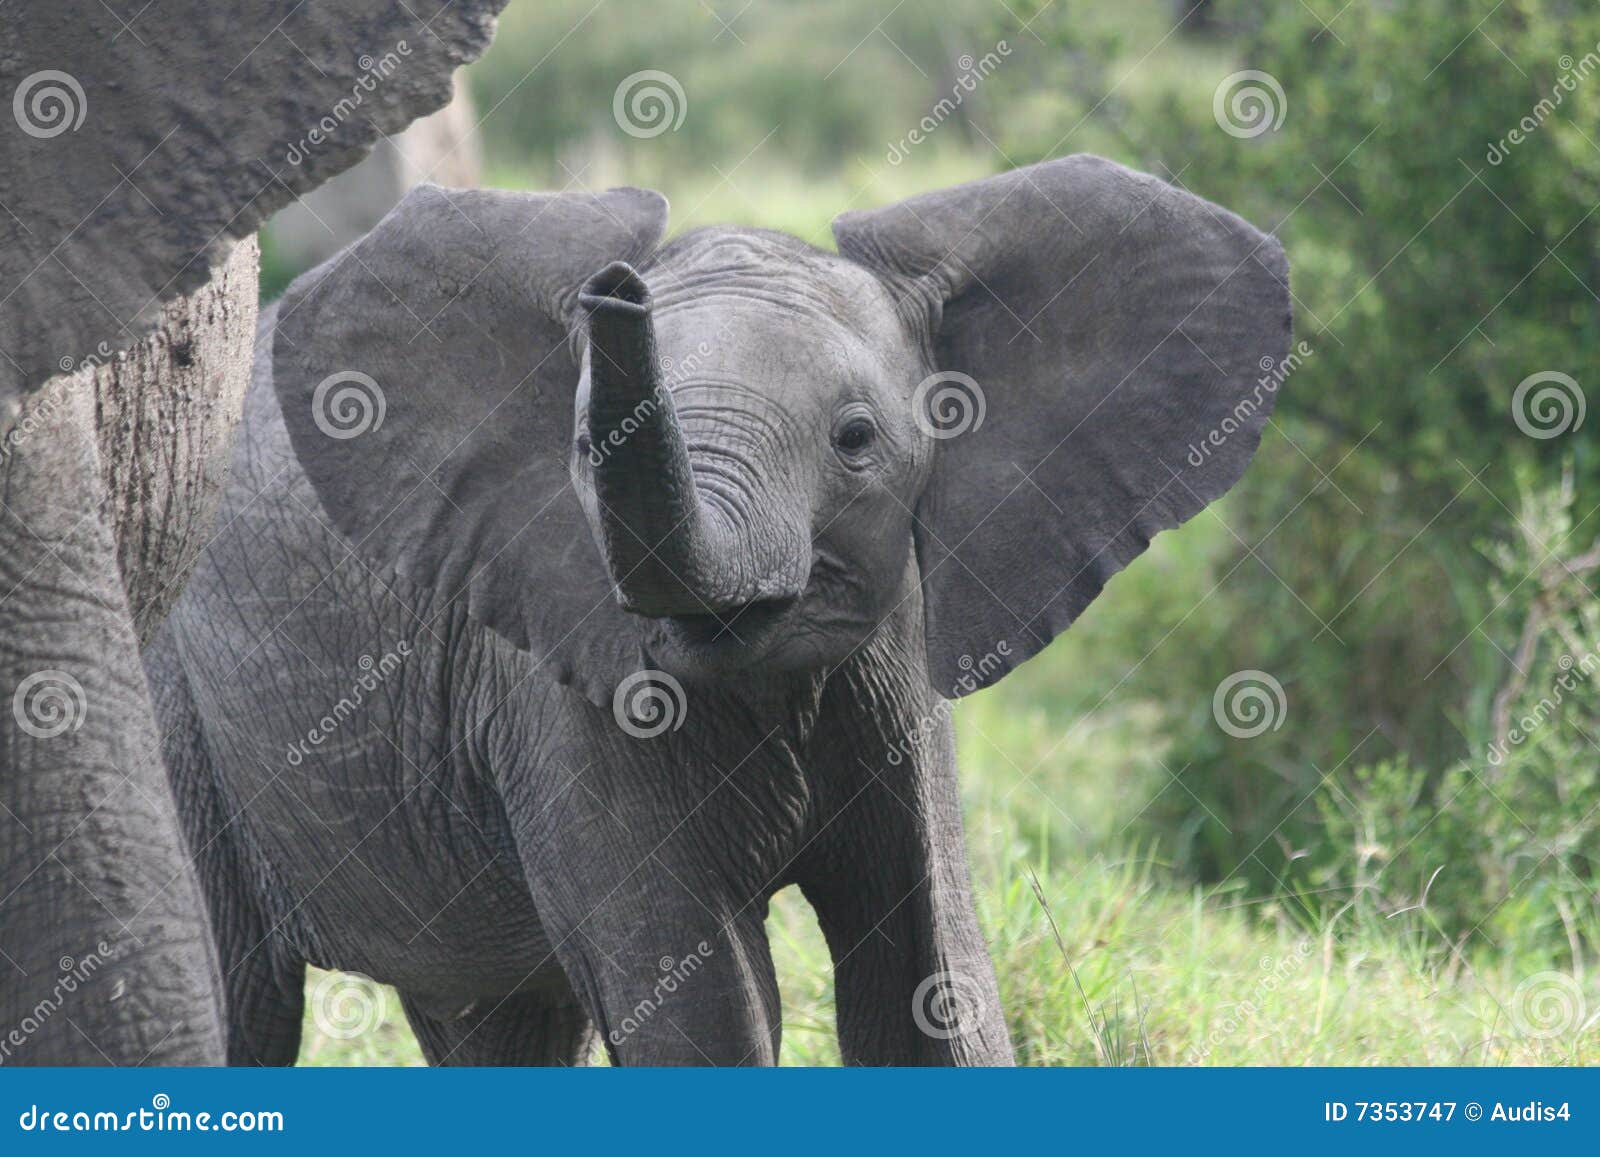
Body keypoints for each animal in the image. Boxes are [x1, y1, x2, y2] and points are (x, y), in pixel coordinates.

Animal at [149, 155, 1290, 1066]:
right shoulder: (561, 688)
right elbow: (704, 1002)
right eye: (584, 449)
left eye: (855, 439)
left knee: (498, 1025)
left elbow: (928, 977)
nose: (613, 291)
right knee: (241, 1001)